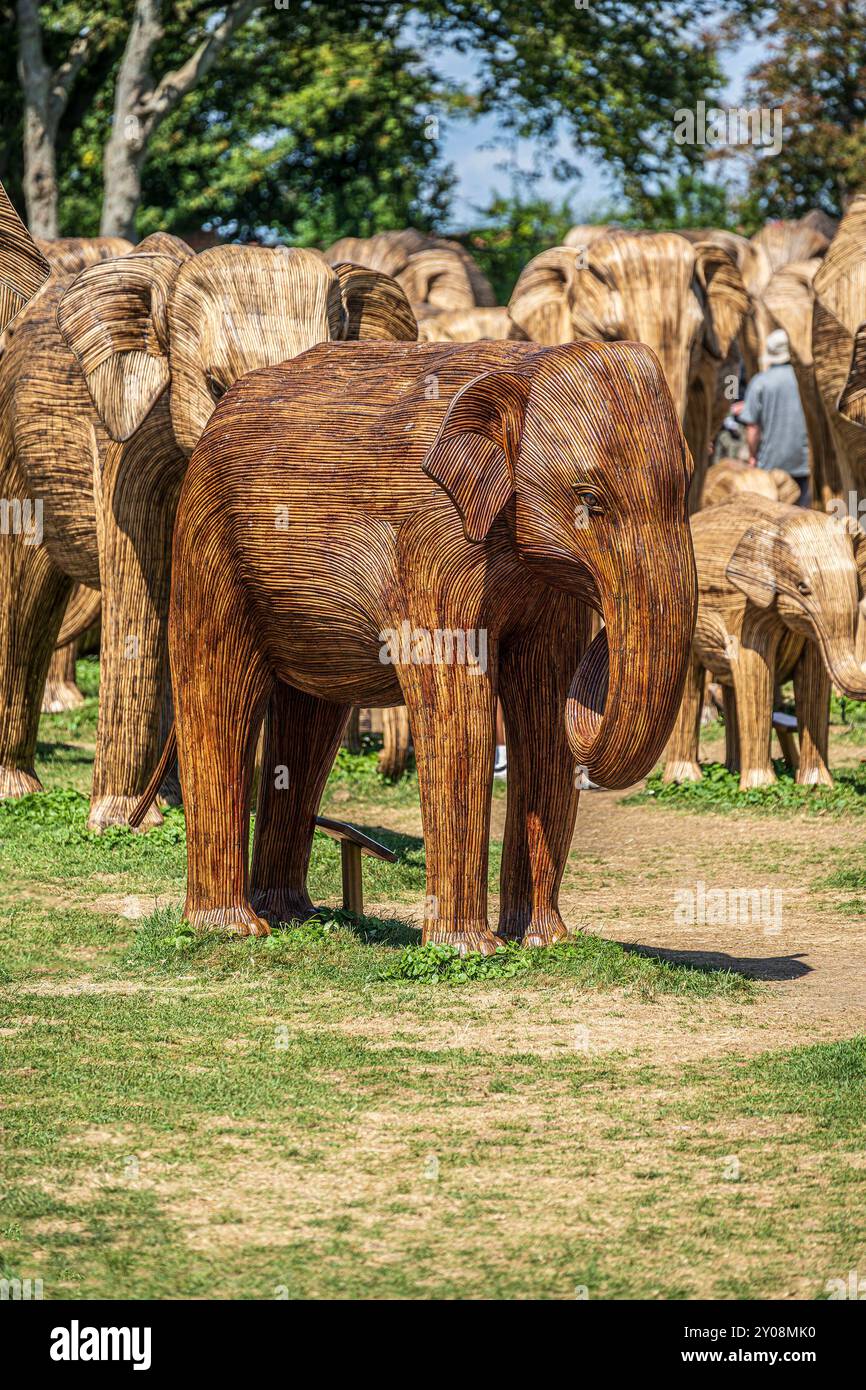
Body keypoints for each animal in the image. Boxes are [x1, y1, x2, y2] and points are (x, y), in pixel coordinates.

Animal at [0, 234, 416, 830]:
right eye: (217, 386)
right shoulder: (126, 439)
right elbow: (139, 604)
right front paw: (121, 822)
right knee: (25, 598)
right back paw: (23, 792)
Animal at [131, 337, 698, 950]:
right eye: (589, 500)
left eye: (689, 482)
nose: (606, 648)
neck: (522, 367)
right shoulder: (434, 544)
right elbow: (462, 712)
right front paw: (472, 950)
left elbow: (545, 710)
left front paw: (545, 943)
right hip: (206, 546)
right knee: (220, 695)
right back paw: (236, 928)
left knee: (311, 722)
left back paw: (291, 915)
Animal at [664, 495, 866, 791]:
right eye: (802, 587)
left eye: (854, 583)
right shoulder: (750, 608)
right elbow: (755, 669)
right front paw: (762, 787)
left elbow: (815, 679)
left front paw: (816, 787)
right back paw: (684, 780)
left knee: (731, 687)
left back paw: (733, 770)